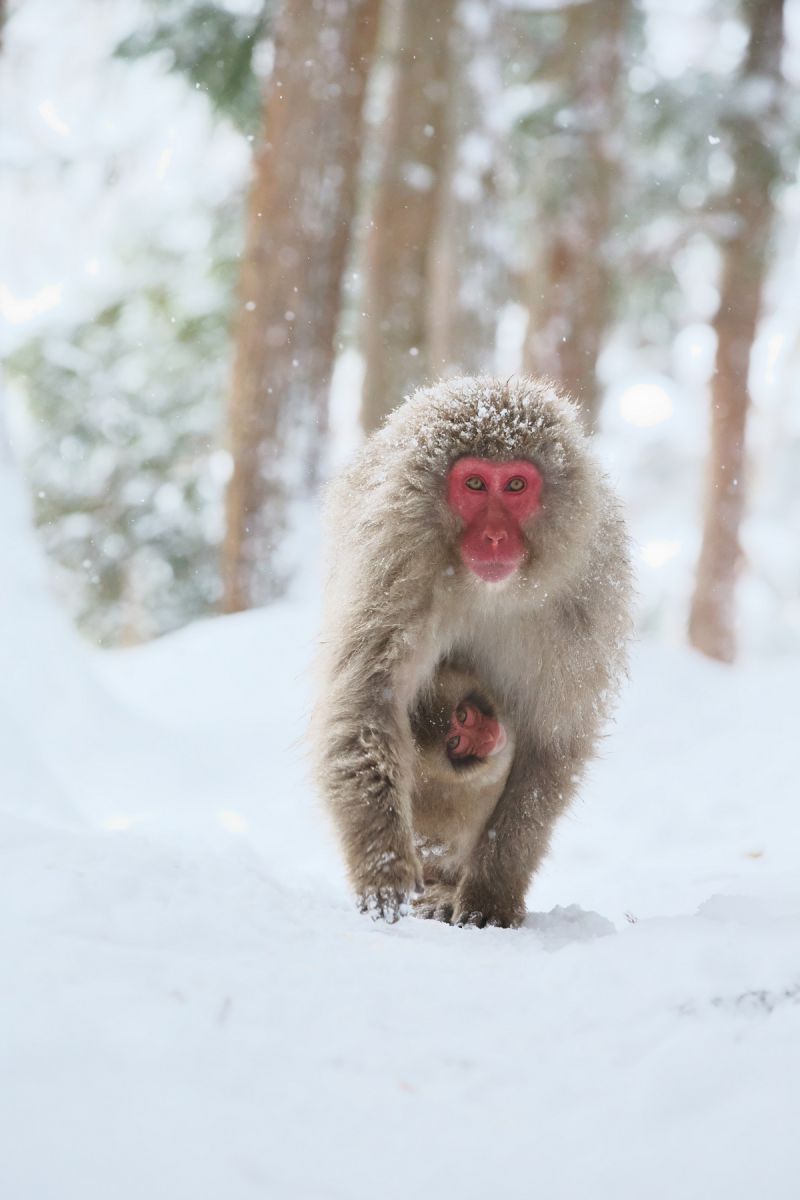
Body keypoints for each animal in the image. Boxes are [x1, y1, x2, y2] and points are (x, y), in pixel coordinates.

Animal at [312, 376, 632, 928]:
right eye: (476, 485)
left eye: (516, 486)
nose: (495, 536)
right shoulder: (394, 569)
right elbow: (367, 701)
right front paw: (384, 872)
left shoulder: (585, 600)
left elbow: (552, 740)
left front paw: (492, 893)